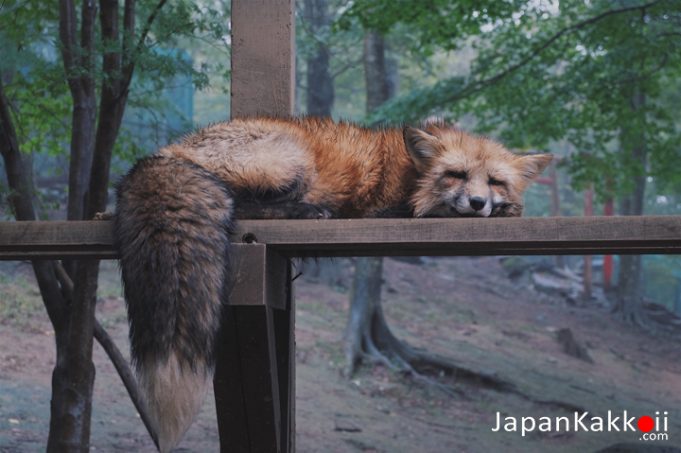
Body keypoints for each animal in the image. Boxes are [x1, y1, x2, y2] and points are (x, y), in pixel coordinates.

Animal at [113, 116, 552, 451]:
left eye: (494, 181)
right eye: (456, 175)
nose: (478, 204)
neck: (410, 171)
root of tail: (169, 150)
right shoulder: (384, 210)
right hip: (292, 164)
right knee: (247, 205)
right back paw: (308, 211)